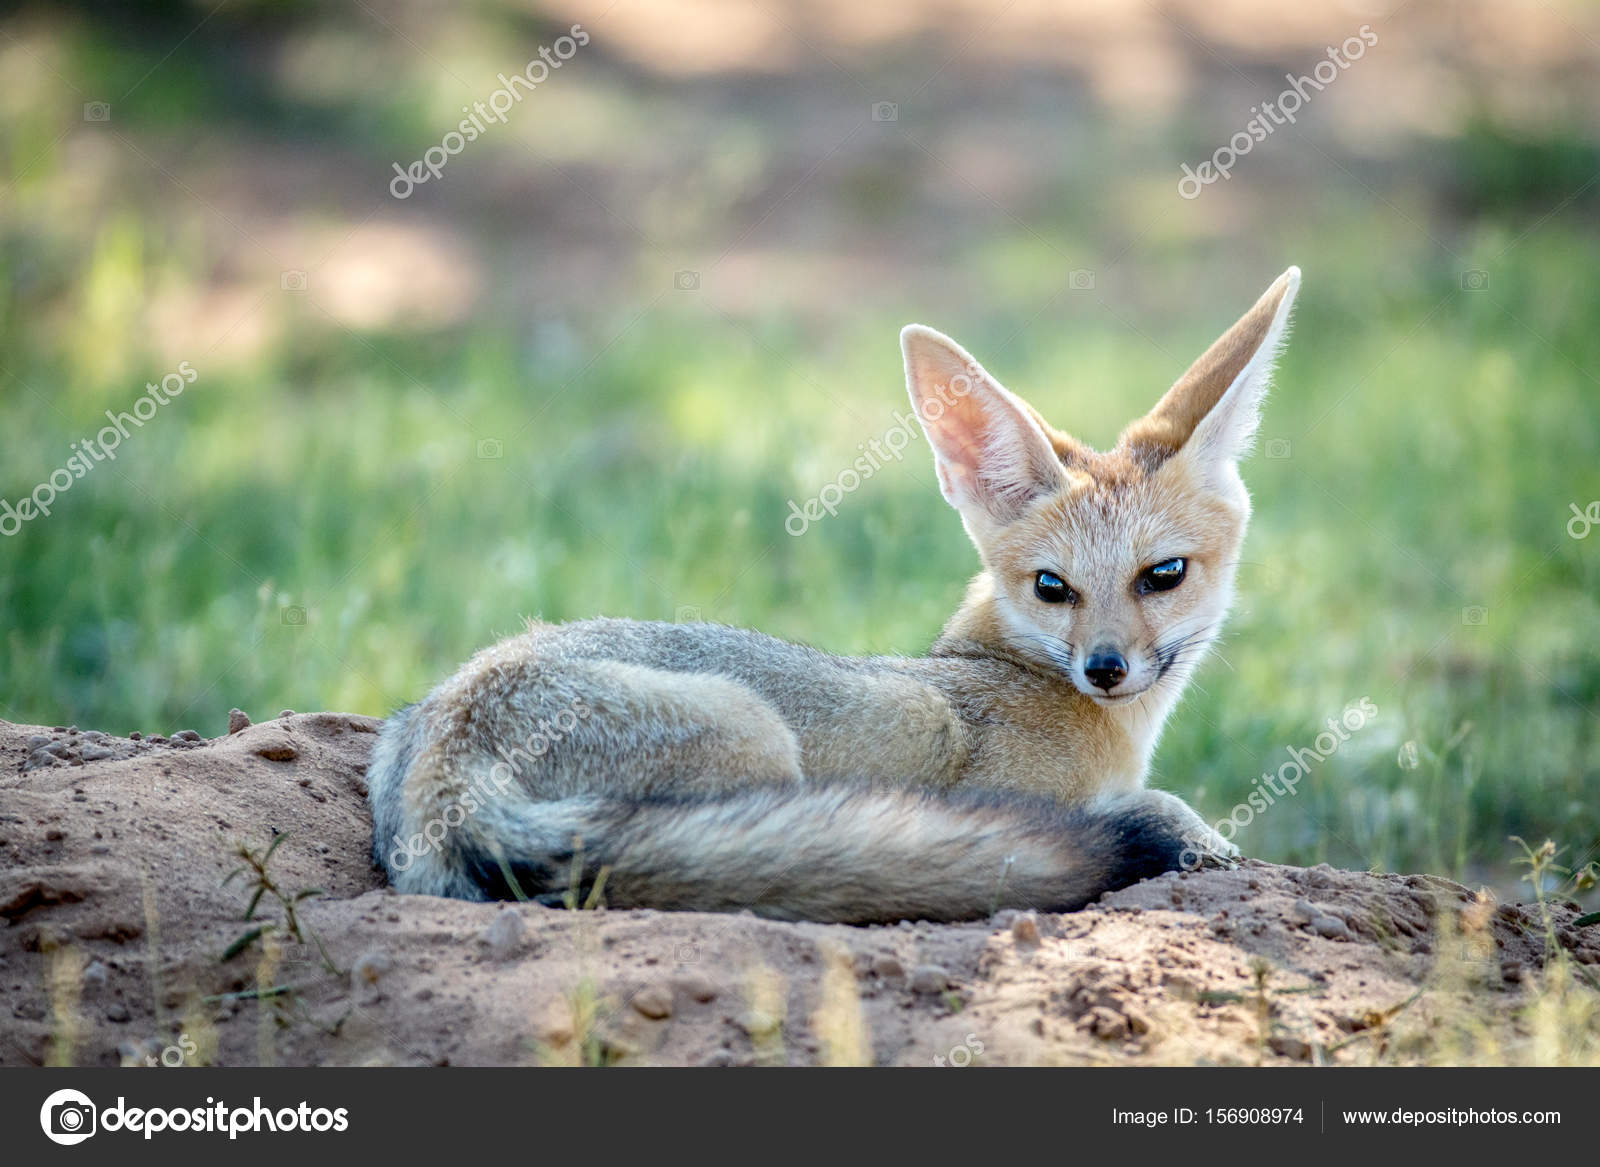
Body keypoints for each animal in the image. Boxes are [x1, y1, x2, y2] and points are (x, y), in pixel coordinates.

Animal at [367, 266, 1301, 924]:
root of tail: (450, 758)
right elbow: (1171, 809)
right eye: (1052, 587)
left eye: (1163, 574)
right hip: (756, 736)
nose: (1106, 668)